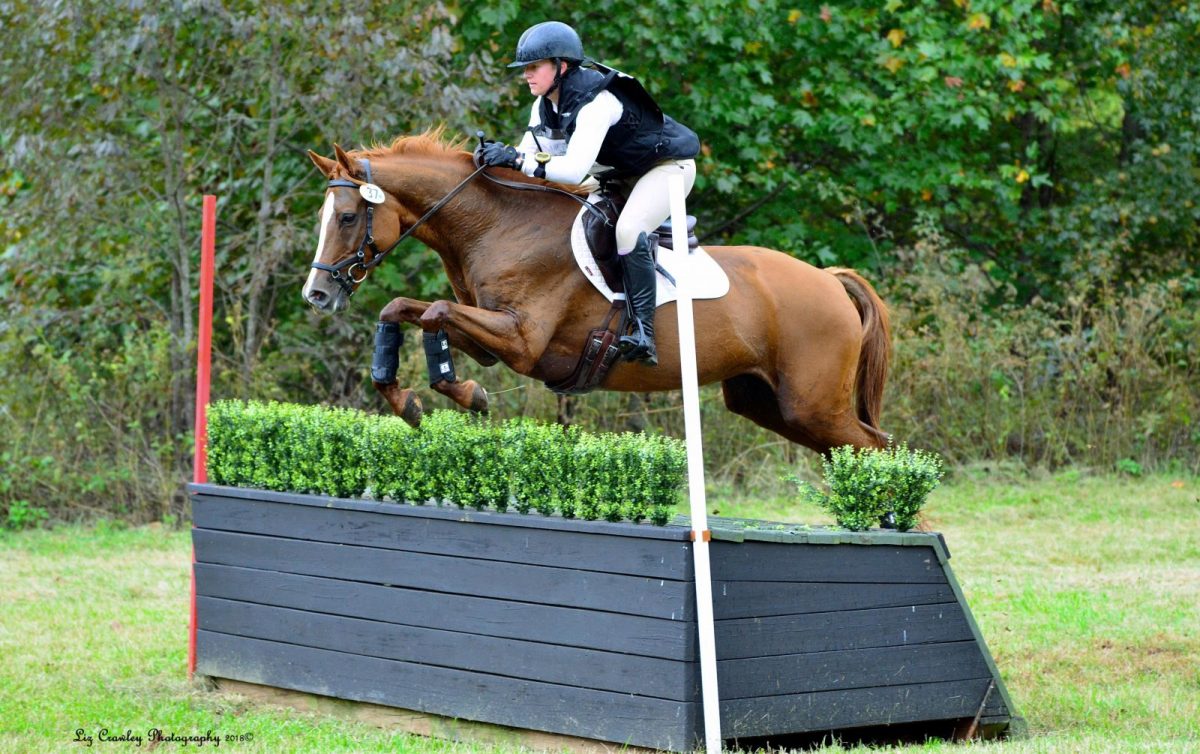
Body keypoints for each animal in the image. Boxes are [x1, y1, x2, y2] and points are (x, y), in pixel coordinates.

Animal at [303, 129, 892, 455]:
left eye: (349, 217)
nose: (316, 295)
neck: (500, 224)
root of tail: (829, 279)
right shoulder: (491, 337)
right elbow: (406, 309)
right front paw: (413, 401)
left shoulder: (522, 342)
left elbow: (435, 312)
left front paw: (464, 395)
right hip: (767, 402)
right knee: (856, 452)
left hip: (813, 404)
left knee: (876, 447)